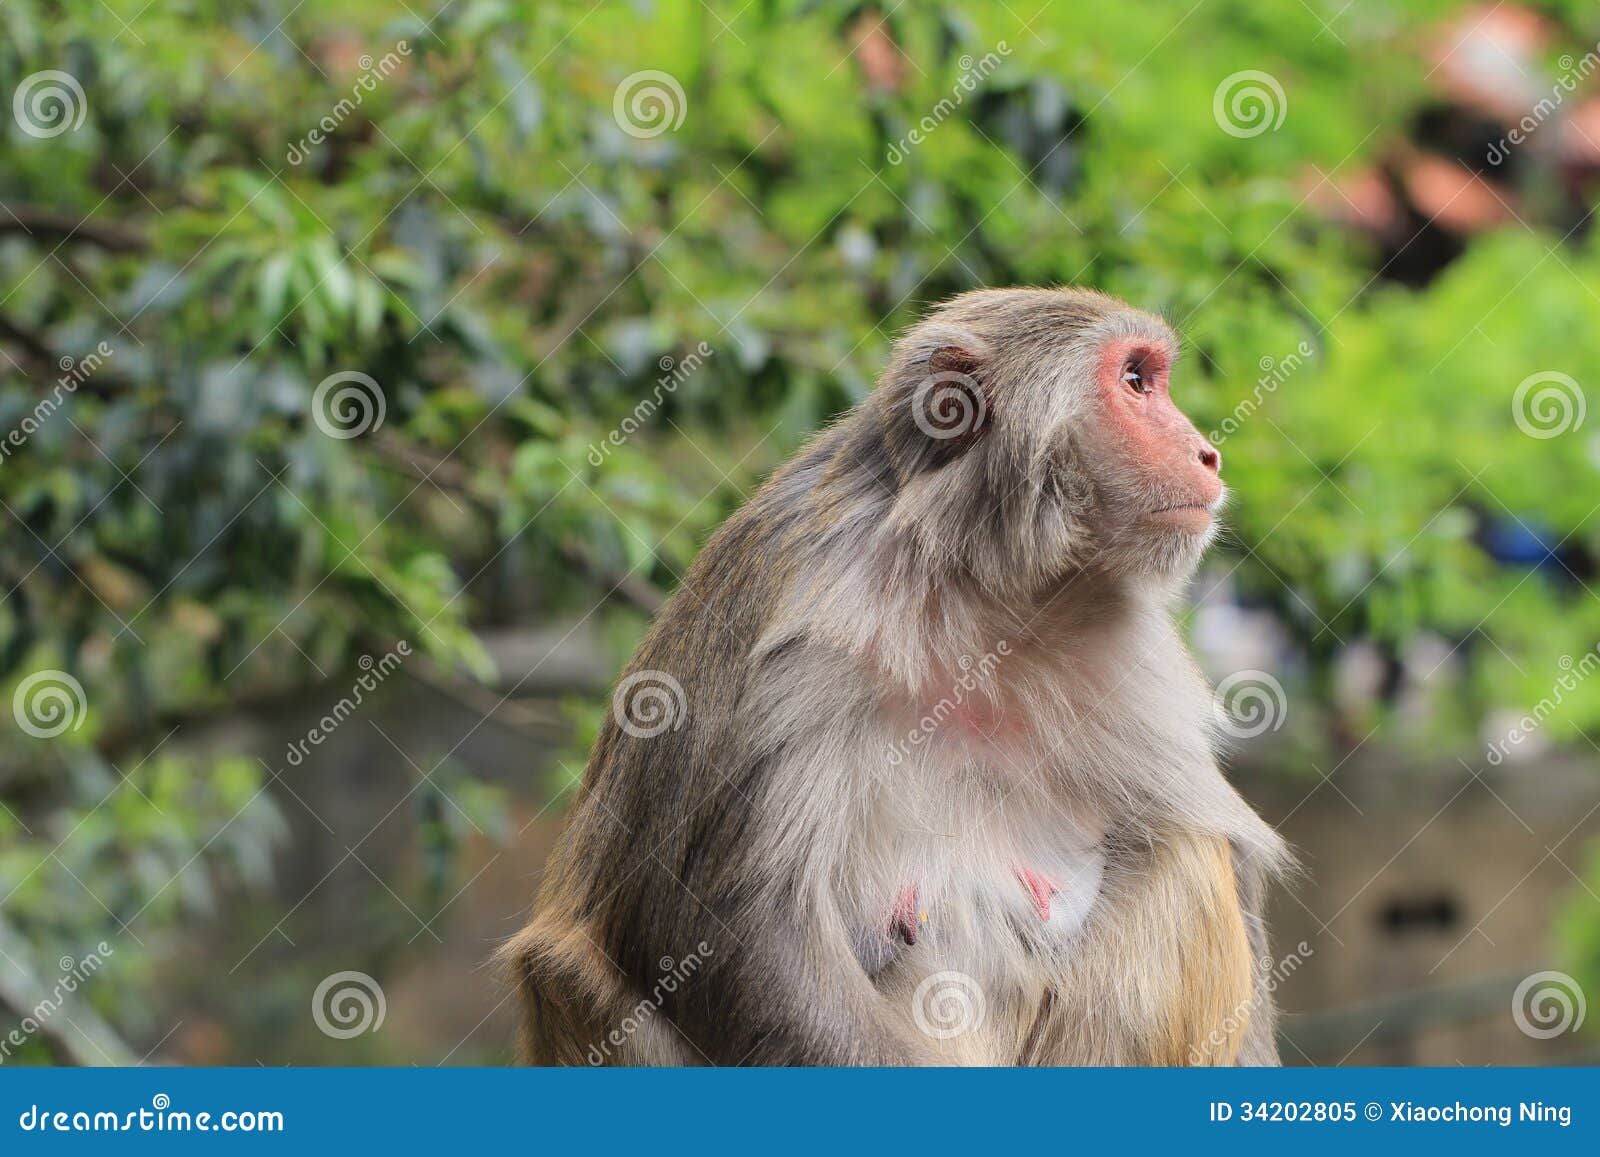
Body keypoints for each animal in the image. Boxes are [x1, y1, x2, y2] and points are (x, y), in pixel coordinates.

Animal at [502, 286, 1291, 1066]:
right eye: (1135, 380)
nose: (1209, 454)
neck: (982, 598)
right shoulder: (801, 633)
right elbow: (719, 938)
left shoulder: (1130, 656)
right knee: (568, 970)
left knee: (1185, 854)